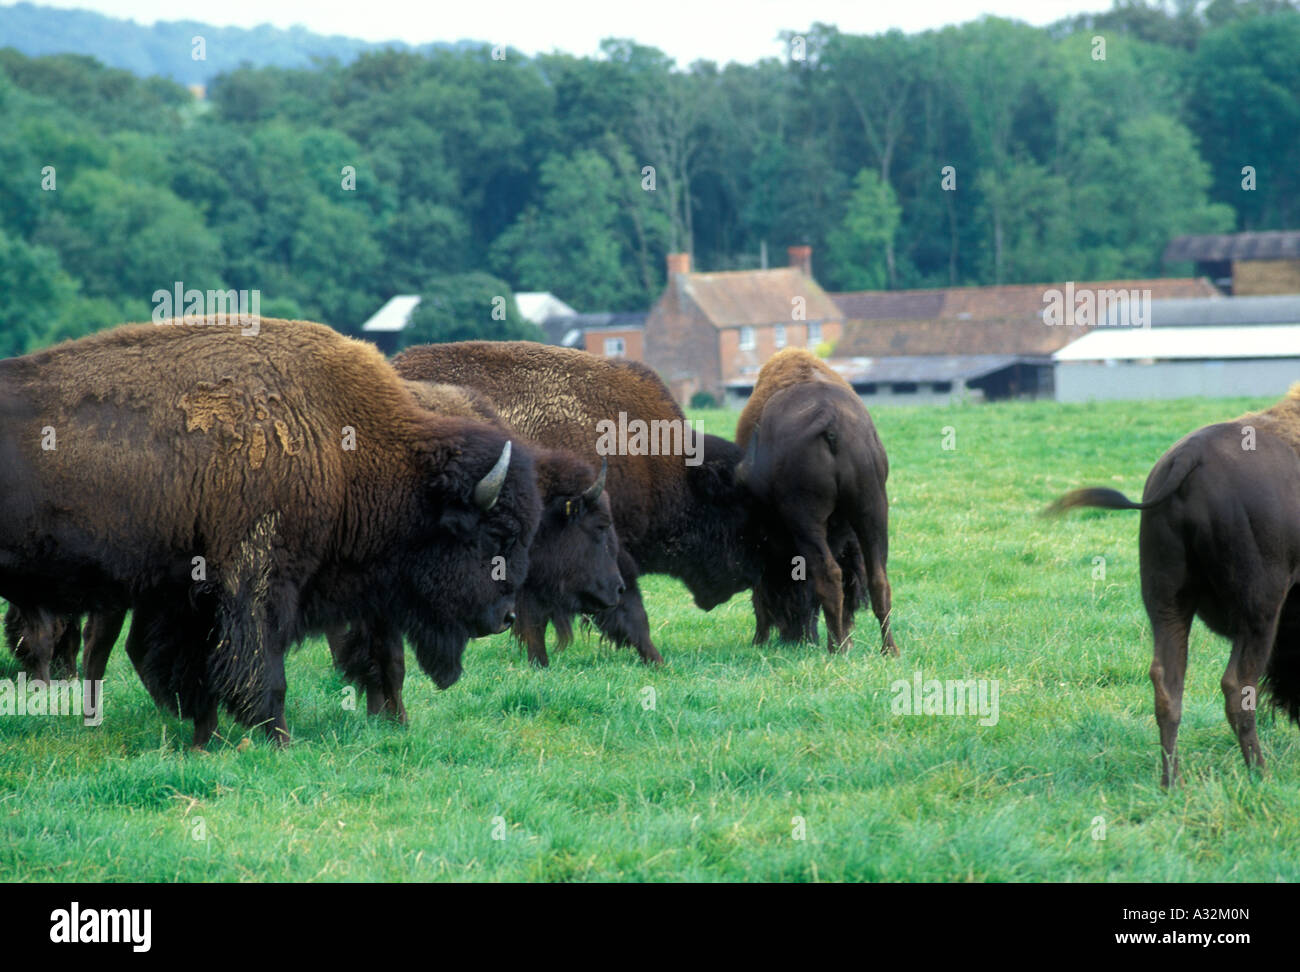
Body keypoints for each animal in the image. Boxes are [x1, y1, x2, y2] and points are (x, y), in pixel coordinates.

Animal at [0, 317, 540, 746]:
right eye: (495, 535)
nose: (507, 617)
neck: (338, 440)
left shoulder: (190, 595)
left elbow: (194, 670)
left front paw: (206, 741)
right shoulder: (258, 582)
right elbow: (262, 669)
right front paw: (278, 739)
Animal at [736, 349, 898, 656]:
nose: (795, 637)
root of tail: (831, 420)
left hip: (806, 520)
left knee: (829, 575)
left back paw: (839, 650)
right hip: (873, 511)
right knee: (878, 580)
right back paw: (886, 650)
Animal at [1049, 387, 1300, 785]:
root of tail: (1189, 456)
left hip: (1166, 601)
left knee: (1167, 685)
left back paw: (1173, 782)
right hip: (1259, 610)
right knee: (1236, 685)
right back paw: (1260, 773)